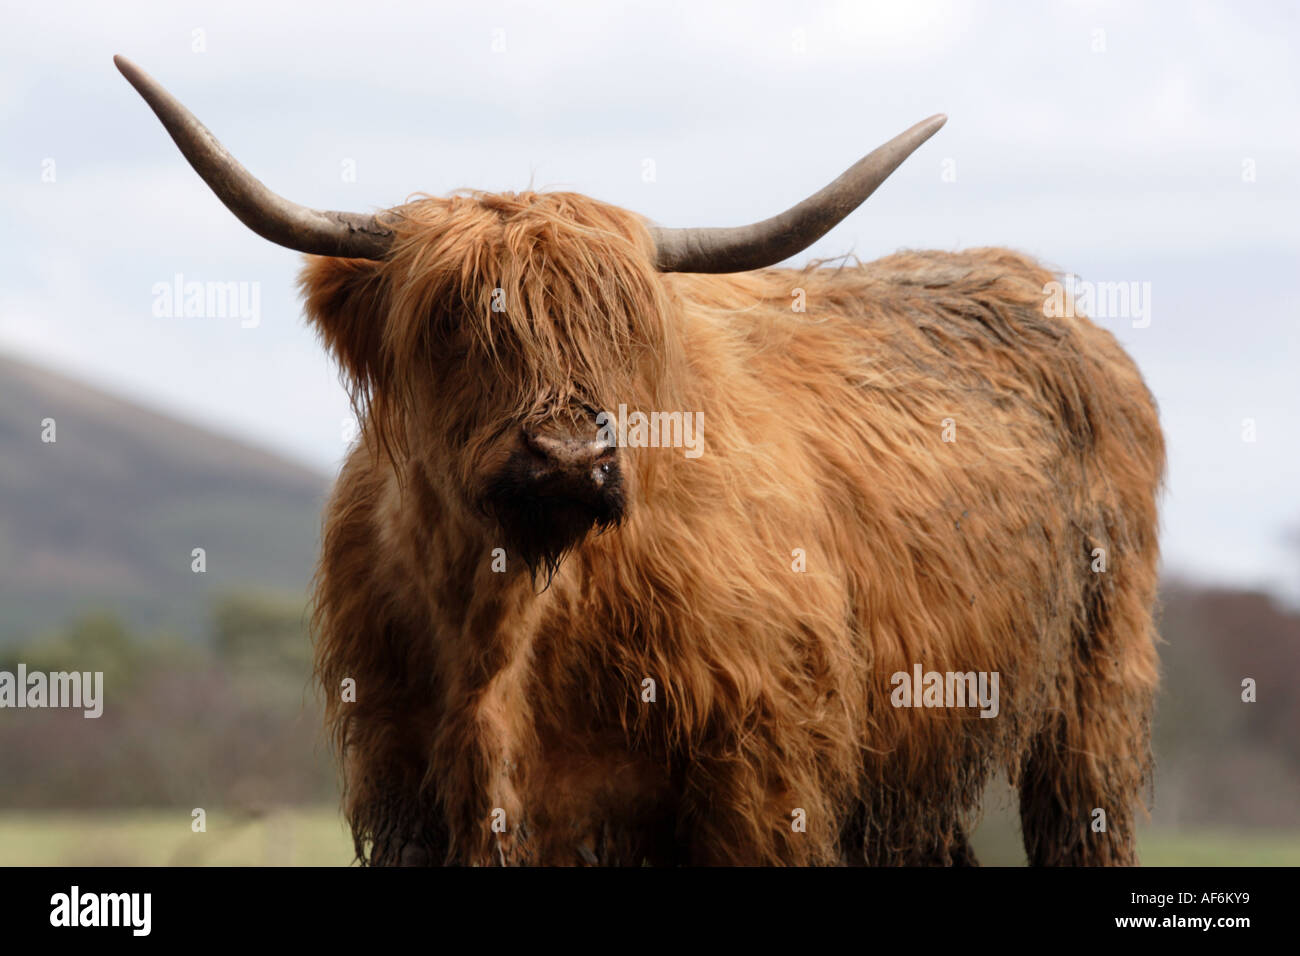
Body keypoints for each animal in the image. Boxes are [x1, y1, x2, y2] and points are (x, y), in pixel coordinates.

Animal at [117, 56, 1164, 866]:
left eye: (619, 325)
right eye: (452, 320)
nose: (569, 452)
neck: (504, 621)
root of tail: (1034, 285)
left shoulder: (763, 778)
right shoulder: (409, 785)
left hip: (1094, 700)